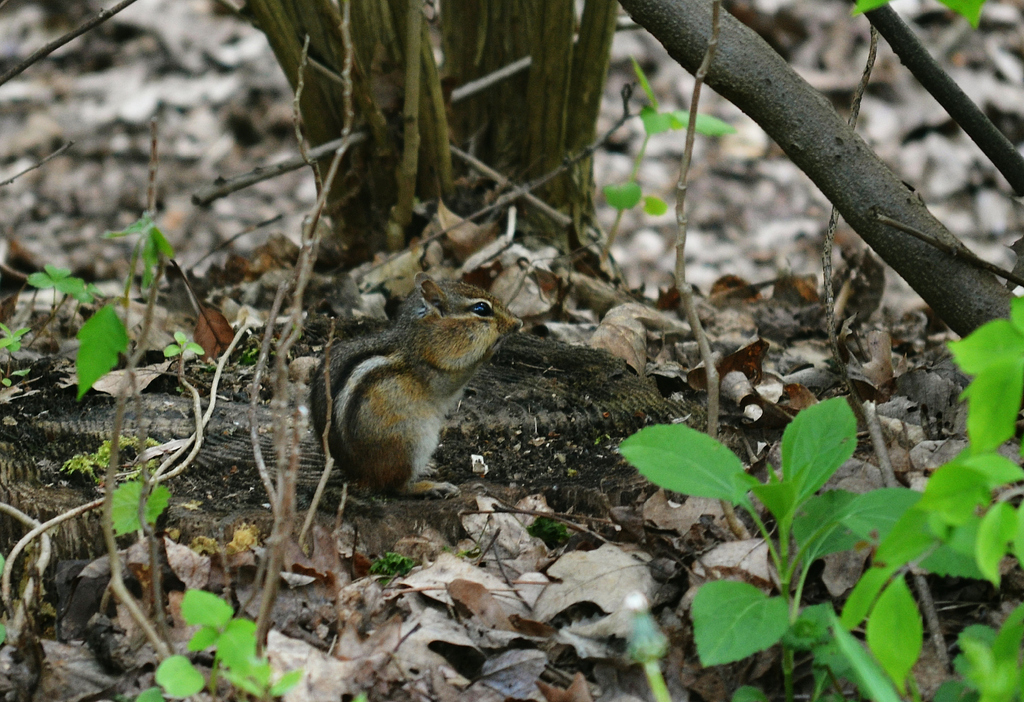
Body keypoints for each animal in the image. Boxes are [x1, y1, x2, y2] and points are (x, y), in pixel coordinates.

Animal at [308, 273, 522, 495]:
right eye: (481, 309)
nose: (519, 322)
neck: (419, 337)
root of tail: (362, 477)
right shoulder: (436, 369)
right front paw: (493, 346)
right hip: (412, 441)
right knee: (396, 487)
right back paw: (431, 487)